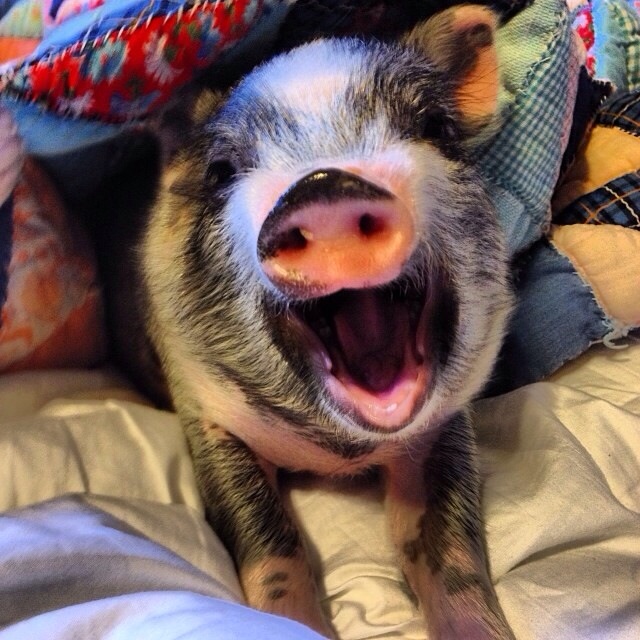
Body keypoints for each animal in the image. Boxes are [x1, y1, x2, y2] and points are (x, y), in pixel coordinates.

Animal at [94, 4, 515, 639]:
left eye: (435, 128)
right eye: (221, 172)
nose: (326, 184)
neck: (341, 452)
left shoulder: (443, 424)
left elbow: (451, 550)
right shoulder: (205, 411)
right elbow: (271, 544)